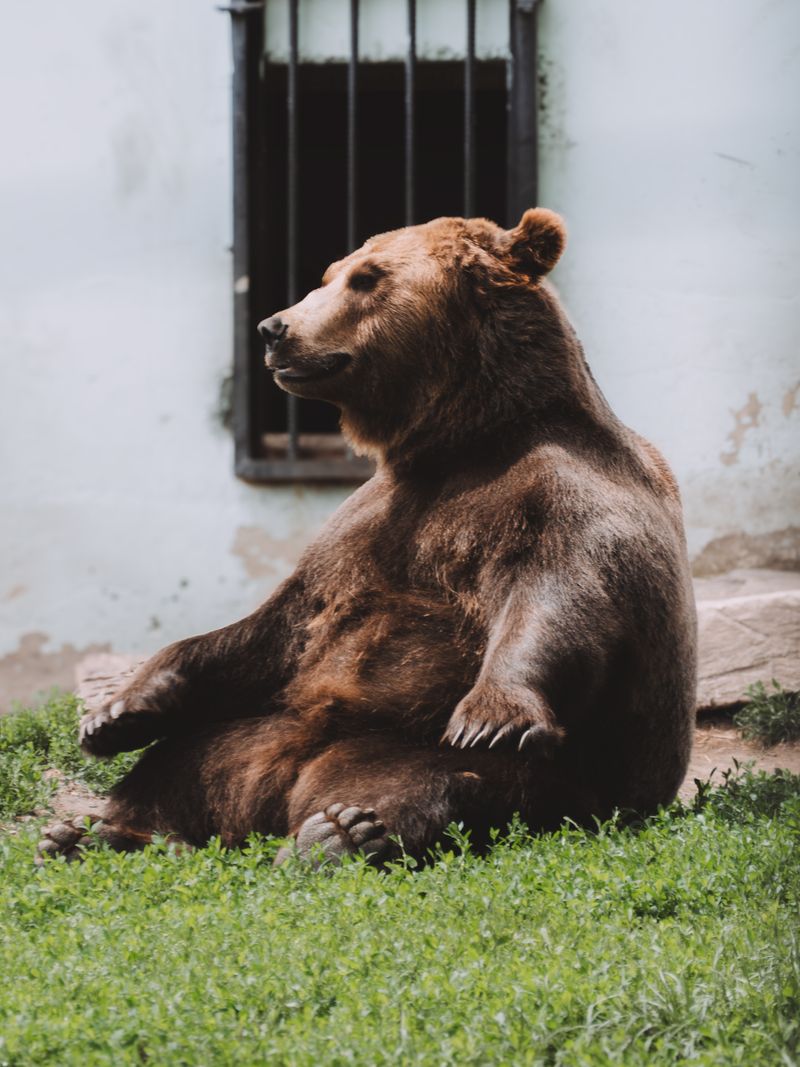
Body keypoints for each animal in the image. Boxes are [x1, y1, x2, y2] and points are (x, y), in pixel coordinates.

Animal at [39, 208, 697, 866]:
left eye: (366, 278)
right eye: (330, 274)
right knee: (180, 766)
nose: (274, 327)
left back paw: (339, 833)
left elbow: (560, 596)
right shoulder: (364, 526)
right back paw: (96, 834)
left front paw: (491, 720)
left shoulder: (560, 497)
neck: (462, 440)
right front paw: (114, 711)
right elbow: (276, 626)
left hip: (472, 762)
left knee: (434, 783)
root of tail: (275, 799)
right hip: (250, 729)